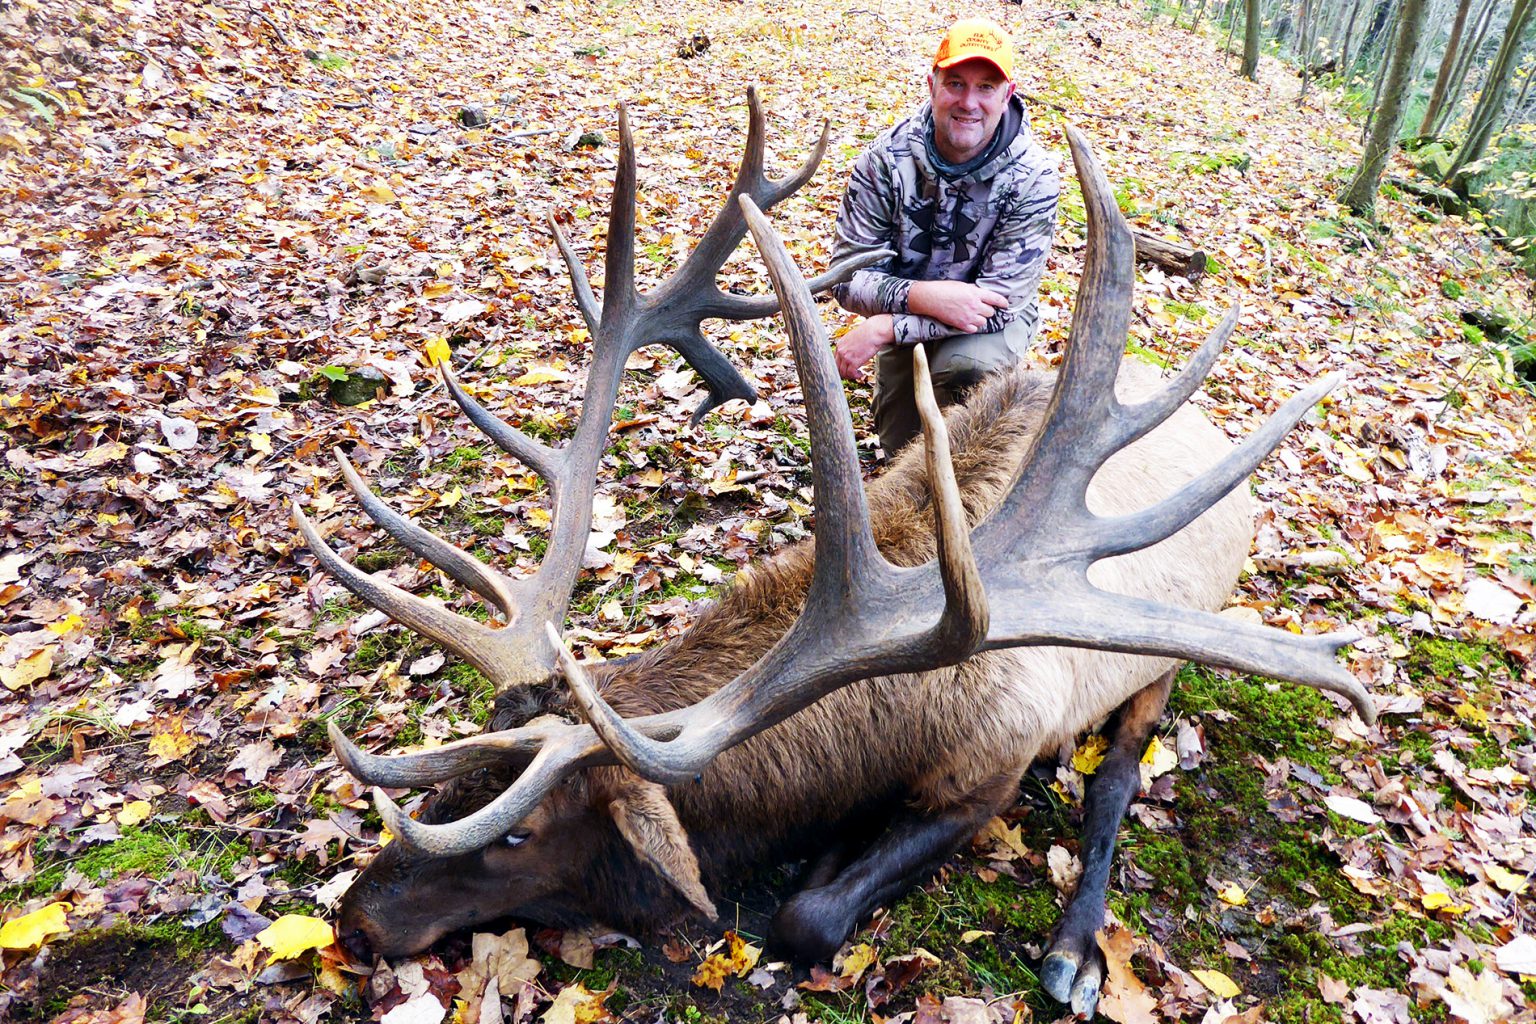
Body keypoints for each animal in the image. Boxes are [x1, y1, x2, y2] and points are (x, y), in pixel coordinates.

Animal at [291, 90, 1374, 1017]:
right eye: (448, 782)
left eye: (518, 831)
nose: (354, 921)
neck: (890, 726)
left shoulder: (995, 766)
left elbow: (805, 919)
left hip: (1173, 644)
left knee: (1119, 773)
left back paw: (1076, 951)